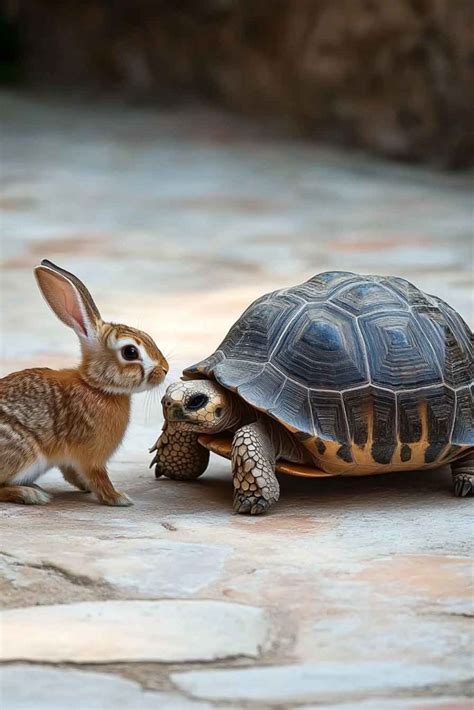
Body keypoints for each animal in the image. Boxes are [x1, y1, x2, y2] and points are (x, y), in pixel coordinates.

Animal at [0, 259, 168, 507]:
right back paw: (30, 493)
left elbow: (72, 473)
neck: (96, 387)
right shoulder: (91, 457)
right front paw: (118, 498)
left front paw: (85, 488)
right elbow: (99, 477)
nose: (165, 369)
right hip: (24, 452)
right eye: (130, 352)